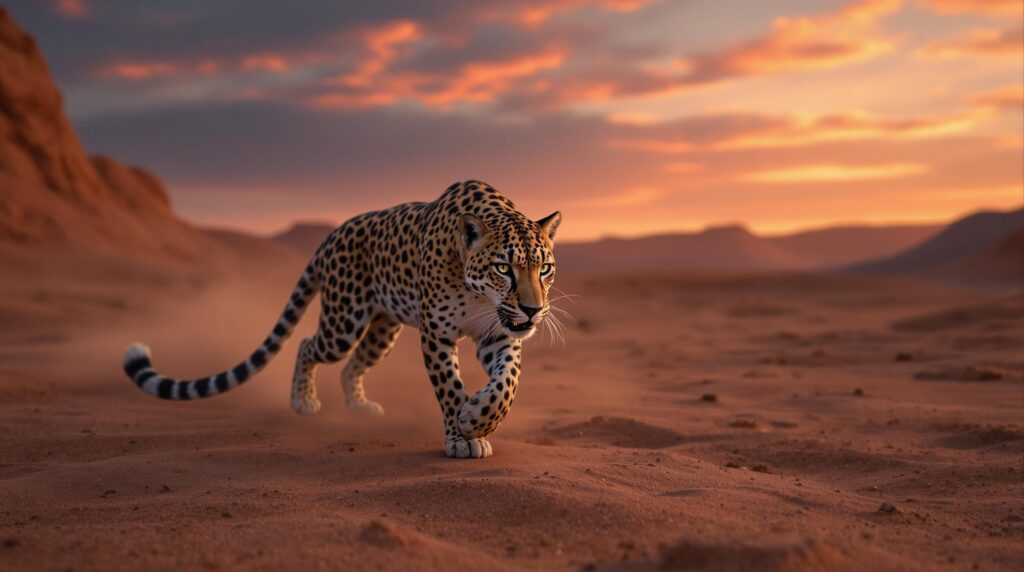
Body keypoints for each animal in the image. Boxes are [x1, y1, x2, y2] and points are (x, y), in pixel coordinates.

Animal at [122, 180, 562, 458]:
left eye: (544, 269)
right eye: (504, 268)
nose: (533, 309)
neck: (479, 294)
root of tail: (334, 233)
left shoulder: (499, 336)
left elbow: (507, 385)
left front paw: (478, 418)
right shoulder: (437, 335)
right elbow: (450, 388)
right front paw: (461, 433)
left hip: (382, 331)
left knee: (353, 365)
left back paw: (359, 406)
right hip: (343, 322)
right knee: (307, 345)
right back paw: (302, 400)